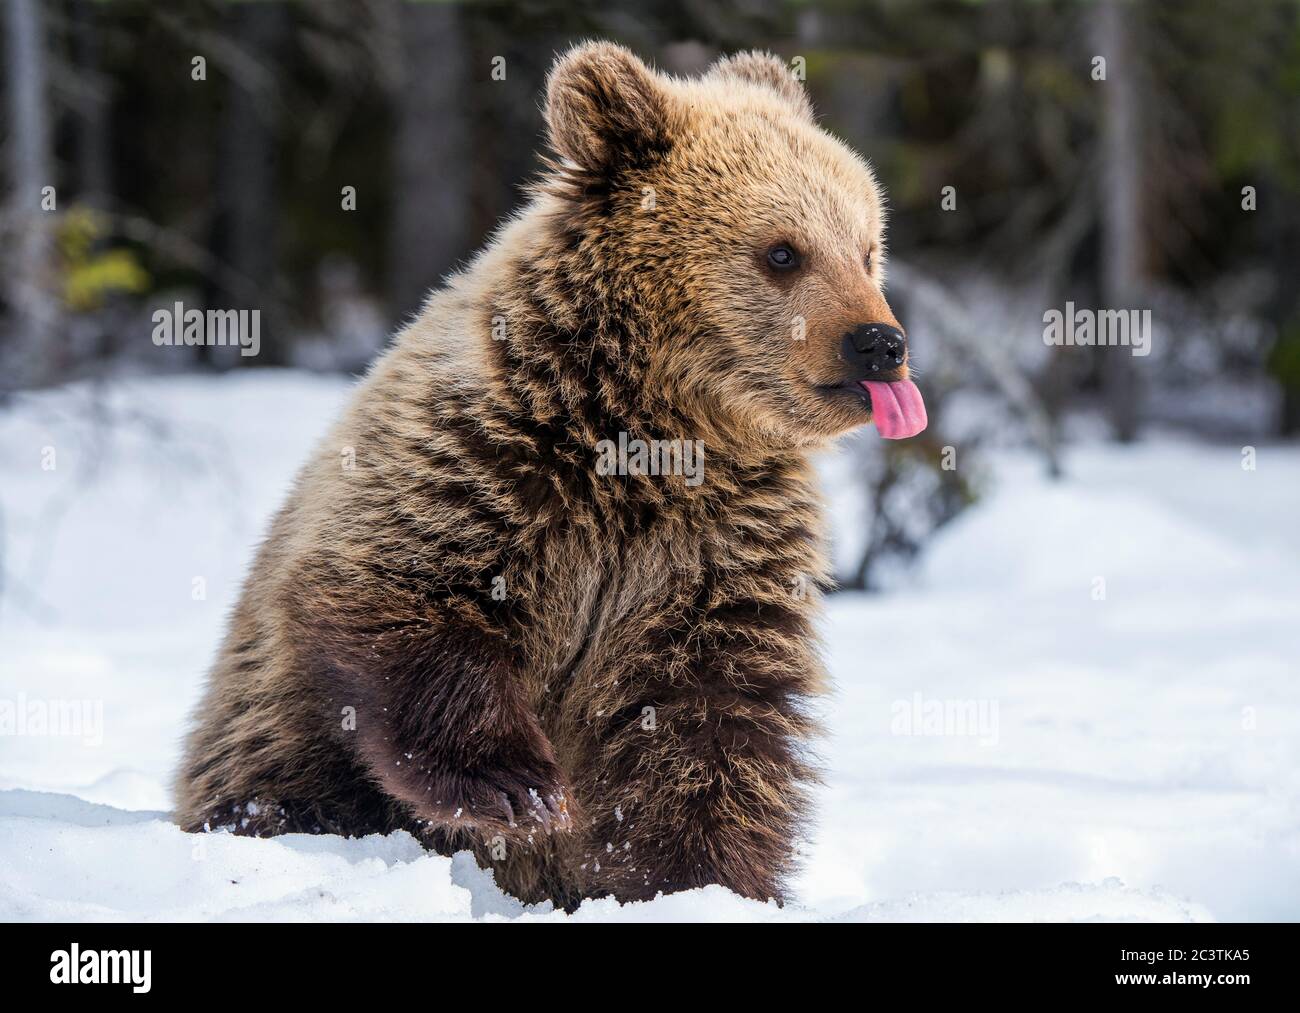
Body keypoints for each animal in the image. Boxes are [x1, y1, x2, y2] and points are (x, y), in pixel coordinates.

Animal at [174, 41, 925, 910]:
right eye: (782, 250)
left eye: (867, 246)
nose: (879, 343)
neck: (653, 430)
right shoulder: (488, 468)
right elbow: (403, 605)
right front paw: (520, 787)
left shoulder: (715, 546)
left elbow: (706, 727)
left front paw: (699, 879)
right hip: (268, 744)